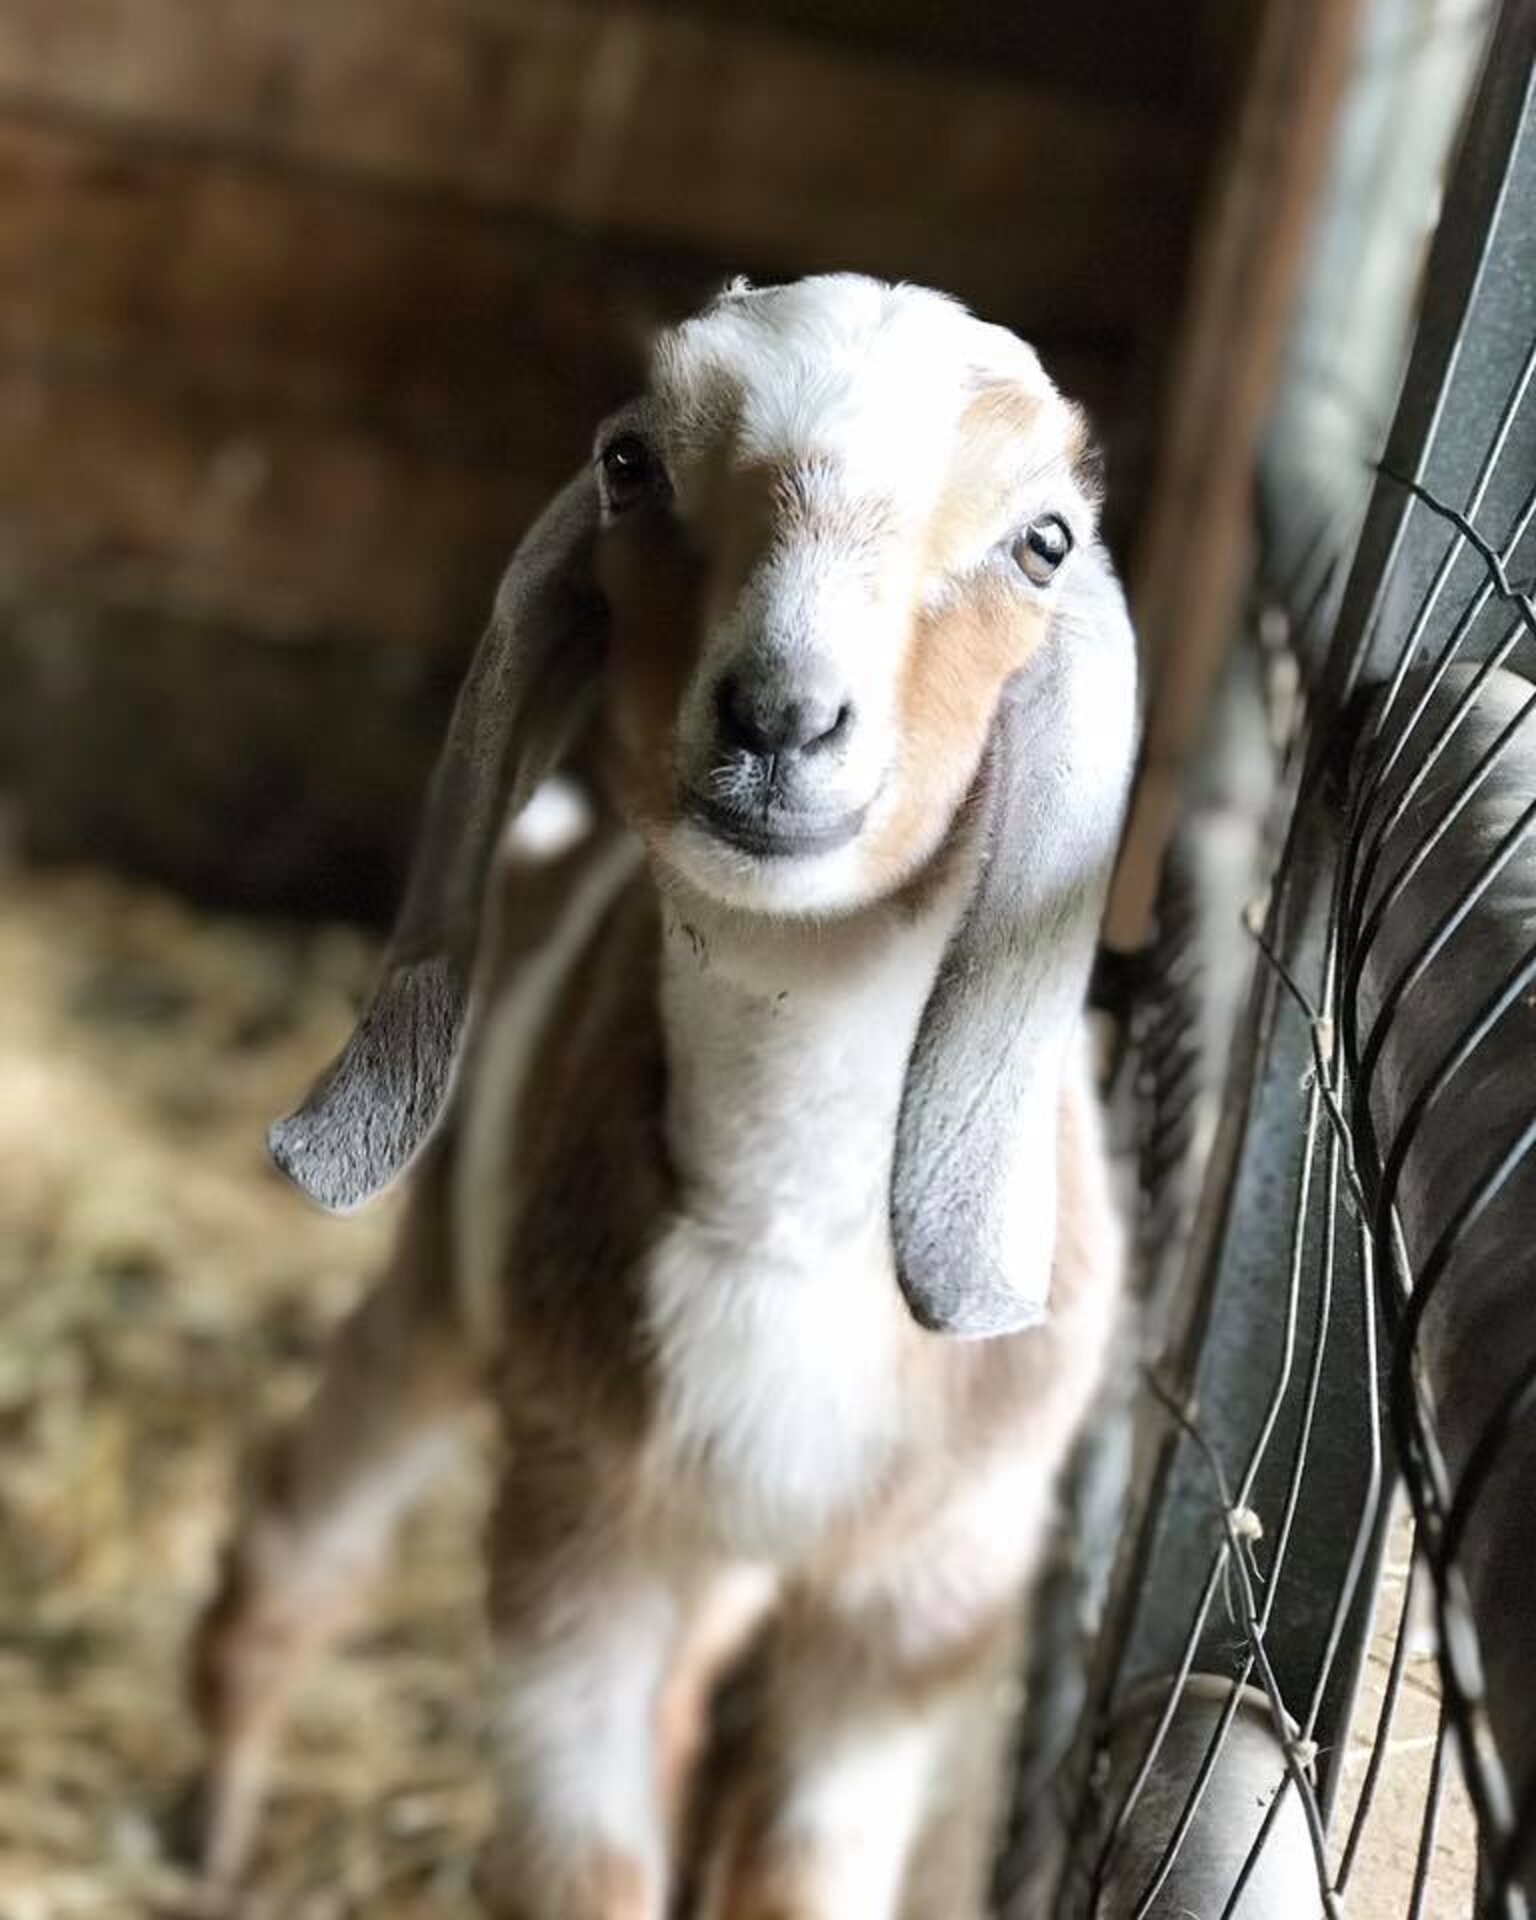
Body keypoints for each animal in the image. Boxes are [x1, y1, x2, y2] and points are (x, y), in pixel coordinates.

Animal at [189, 273, 1139, 1919]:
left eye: (1044, 541)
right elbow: (582, 1867)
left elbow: (801, 1877)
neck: (790, 1224)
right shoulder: (582, 1530)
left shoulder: (918, 1604)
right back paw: (211, 1840)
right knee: (298, 1549)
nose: (780, 717)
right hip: (443, 1299)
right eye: (630, 463)